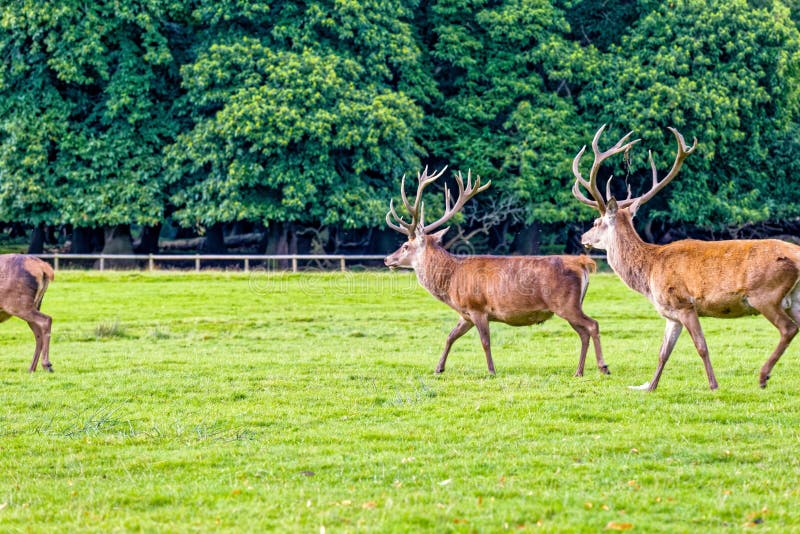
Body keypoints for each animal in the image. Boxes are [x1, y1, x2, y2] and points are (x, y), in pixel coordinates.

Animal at [384, 166, 609, 377]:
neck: (451, 282)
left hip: (565, 304)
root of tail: (583, 263)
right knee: (583, 333)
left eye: (405, 246)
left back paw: (603, 367)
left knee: (593, 325)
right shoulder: (466, 314)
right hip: (570, 305)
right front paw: (438, 368)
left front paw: (491, 370)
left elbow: (485, 342)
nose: (387, 259)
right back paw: (579, 371)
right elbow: (450, 336)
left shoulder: (477, 307)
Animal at [572, 124, 800, 391]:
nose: (583, 237)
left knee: (788, 328)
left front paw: (713, 385)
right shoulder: (671, 314)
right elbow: (663, 353)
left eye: (596, 222)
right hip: (793, 298)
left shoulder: (683, 303)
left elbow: (701, 347)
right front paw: (650, 386)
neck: (650, 271)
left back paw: (763, 376)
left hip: (765, 294)